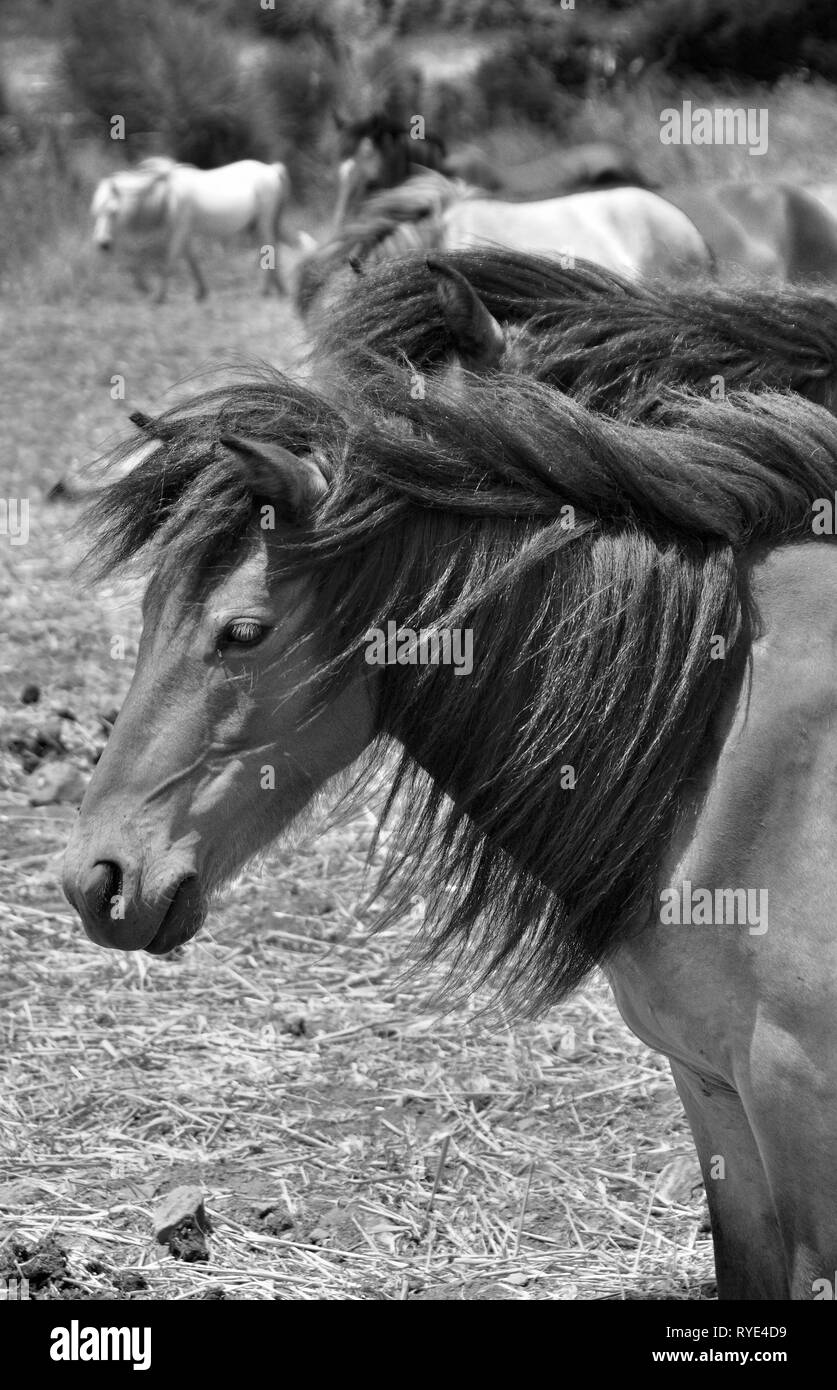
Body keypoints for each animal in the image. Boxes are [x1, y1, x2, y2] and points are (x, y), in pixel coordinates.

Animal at [90, 157, 296, 301]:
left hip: (263, 221)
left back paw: (267, 289)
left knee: (271, 245)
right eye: (96, 212)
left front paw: (158, 296)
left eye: (112, 212)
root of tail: (270, 169)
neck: (168, 194)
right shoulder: (185, 232)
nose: (102, 244)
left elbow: (170, 260)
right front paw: (201, 292)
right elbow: (191, 260)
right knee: (270, 248)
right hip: (256, 224)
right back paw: (278, 288)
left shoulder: (180, 230)